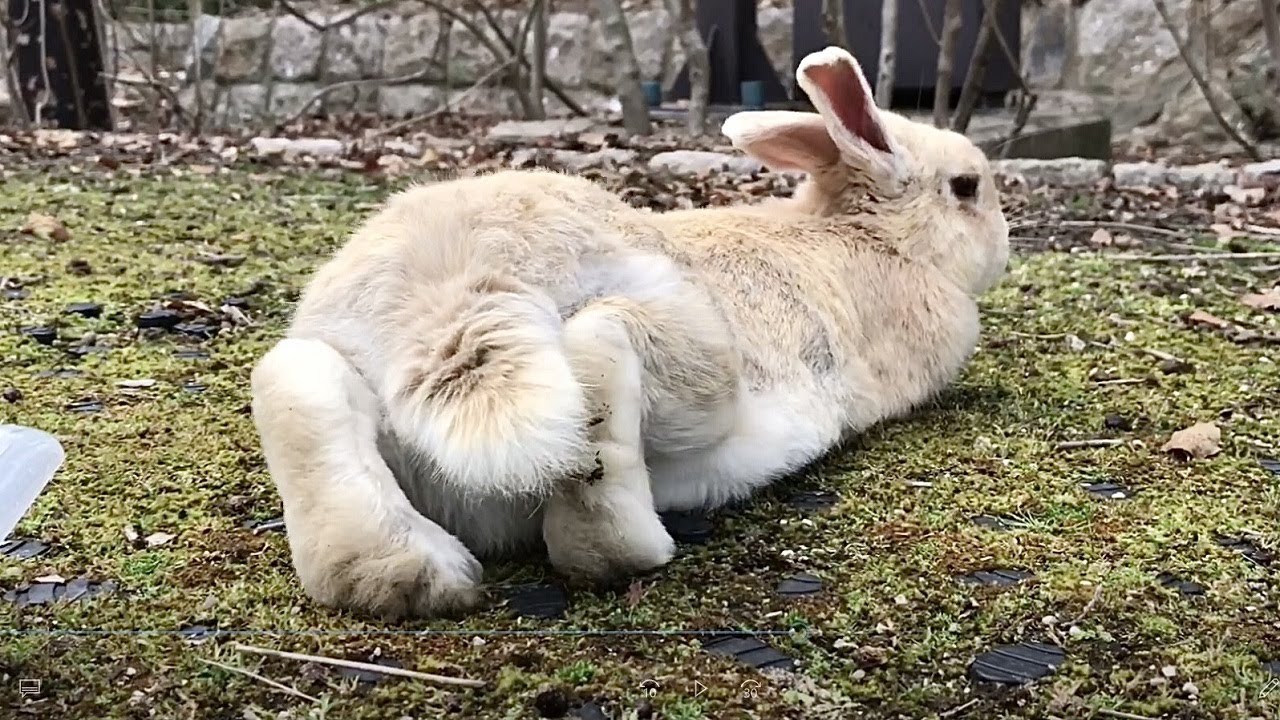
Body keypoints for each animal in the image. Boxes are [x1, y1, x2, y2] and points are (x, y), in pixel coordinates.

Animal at [249, 46, 1010, 620]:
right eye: (966, 187)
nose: (1003, 248)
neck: (874, 235)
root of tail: (449, 292)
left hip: (342, 375)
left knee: (301, 387)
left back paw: (408, 575)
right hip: (700, 362)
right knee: (605, 379)